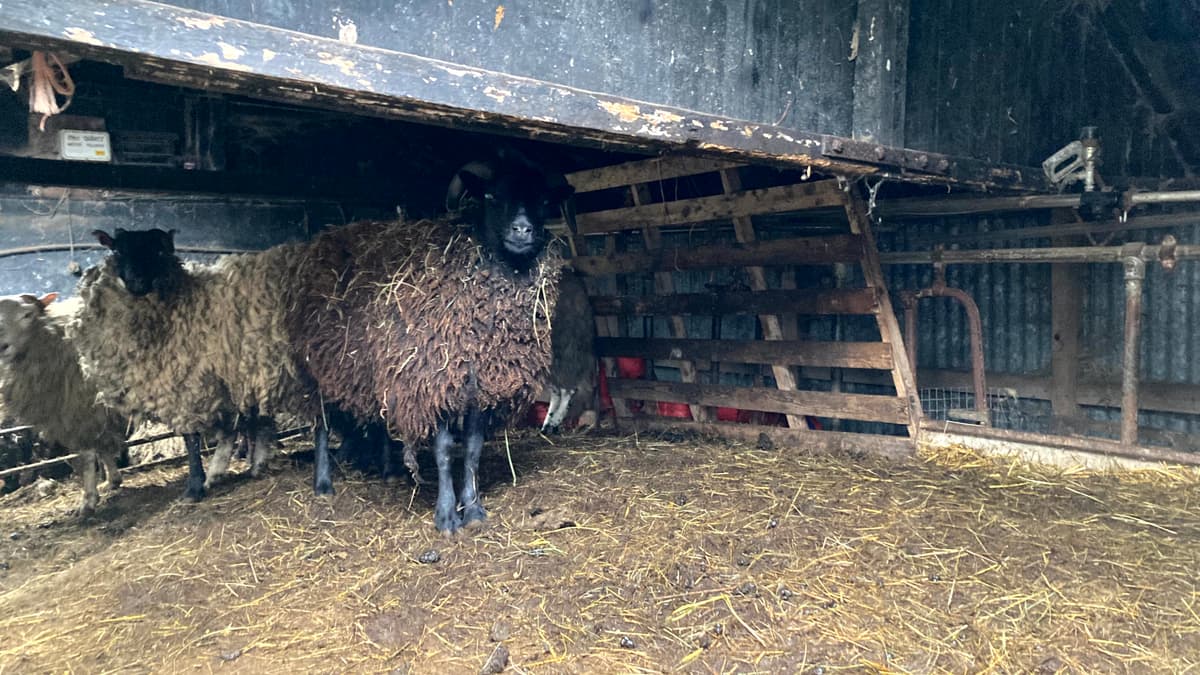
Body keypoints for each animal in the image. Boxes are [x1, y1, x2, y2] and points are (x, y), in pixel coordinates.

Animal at [0, 293, 125, 516]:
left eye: (27, 314)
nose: (2, 346)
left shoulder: (81, 409)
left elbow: (87, 457)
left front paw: (88, 501)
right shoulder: (93, 414)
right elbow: (103, 449)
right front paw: (112, 481)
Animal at [72, 228, 323, 502]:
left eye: (157, 251)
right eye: (118, 250)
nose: (138, 282)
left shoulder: (189, 385)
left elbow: (192, 437)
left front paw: (195, 485)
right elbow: (240, 425)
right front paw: (232, 469)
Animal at [289, 154, 574, 533]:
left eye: (543, 201)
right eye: (491, 197)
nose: (522, 230)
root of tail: (325, 238)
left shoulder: (480, 389)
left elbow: (472, 450)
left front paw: (474, 509)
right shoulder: (433, 385)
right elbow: (444, 451)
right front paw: (447, 516)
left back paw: (388, 470)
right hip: (315, 365)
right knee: (320, 423)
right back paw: (323, 483)